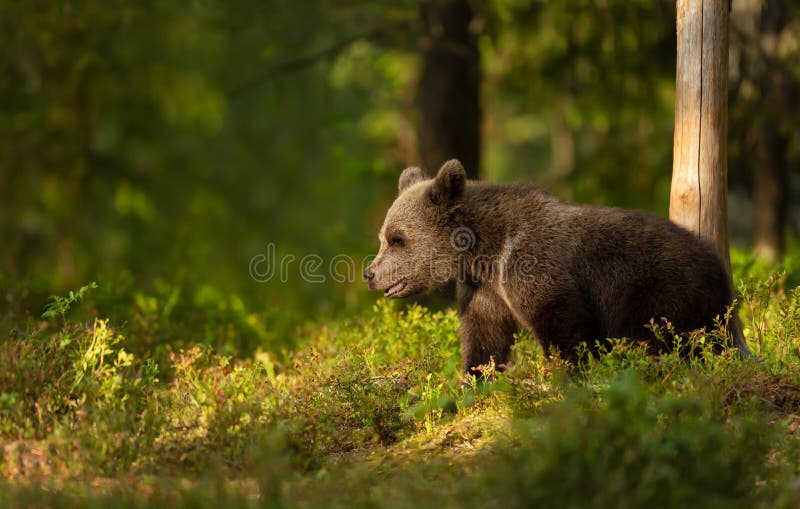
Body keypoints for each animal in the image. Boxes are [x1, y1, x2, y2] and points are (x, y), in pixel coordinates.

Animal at [364, 159, 750, 373]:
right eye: (384, 236)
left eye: (397, 238)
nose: (370, 273)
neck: (485, 251)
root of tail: (721, 270)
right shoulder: (484, 289)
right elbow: (484, 336)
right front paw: (473, 379)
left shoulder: (529, 265)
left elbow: (564, 324)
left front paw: (572, 372)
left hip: (658, 287)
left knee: (653, 334)